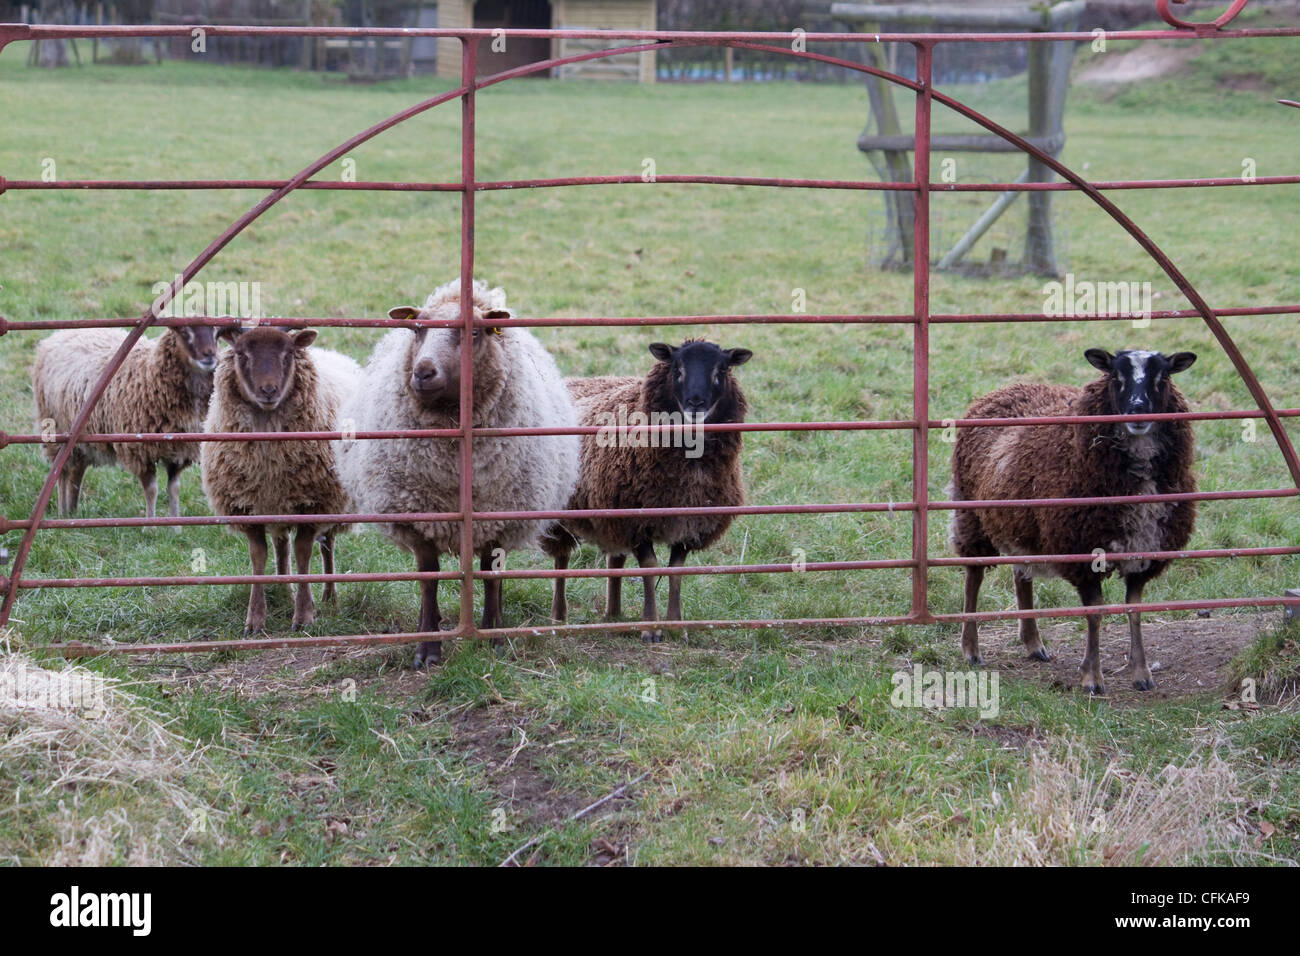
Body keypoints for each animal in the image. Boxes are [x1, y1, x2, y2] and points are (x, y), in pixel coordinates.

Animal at [32, 325, 220, 518]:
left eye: (216, 332)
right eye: (183, 331)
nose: (210, 355)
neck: (148, 374)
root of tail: (58, 335)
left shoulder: (179, 451)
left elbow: (174, 489)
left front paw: (175, 523)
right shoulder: (140, 451)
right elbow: (152, 490)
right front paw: (150, 523)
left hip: (81, 437)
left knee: (77, 470)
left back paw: (72, 511)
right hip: (56, 429)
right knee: (62, 471)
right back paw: (62, 511)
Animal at [201, 326, 361, 634]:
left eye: (288, 354)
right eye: (241, 354)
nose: (268, 390)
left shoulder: (312, 504)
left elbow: (303, 553)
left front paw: (304, 614)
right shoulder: (248, 507)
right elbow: (259, 555)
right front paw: (255, 619)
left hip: (332, 502)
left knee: (327, 545)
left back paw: (329, 595)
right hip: (277, 505)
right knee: (281, 545)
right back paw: (285, 590)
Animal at [335, 278, 579, 668]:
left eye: (474, 332)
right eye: (417, 328)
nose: (423, 371)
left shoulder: (497, 516)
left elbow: (491, 578)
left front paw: (493, 637)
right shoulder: (419, 518)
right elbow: (429, 579)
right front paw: (428, 646)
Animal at [540, 339, 753, 642]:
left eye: (721, 370)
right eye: (676, 369)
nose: (696, 403)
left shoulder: (688, 521)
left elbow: (676, 571)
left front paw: (676, 625)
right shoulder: (636, 520)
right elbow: (651, 565)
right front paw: (651, 628)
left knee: (614, 559)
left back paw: (613, 613)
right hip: (563, 514)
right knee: (562, 558)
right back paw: (558, 617)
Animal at [949, 348, 1198, 695]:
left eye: (1162, 377)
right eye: (1116, 376)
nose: (1137, 411)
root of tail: (1006, 389)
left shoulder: (1144, 551)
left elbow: (1134, 609)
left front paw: (1141, 673)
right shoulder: (1083, 553)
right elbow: (1094, 613)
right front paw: (1092, 678)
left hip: (1023, 524)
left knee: (1021, 575)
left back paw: (1033, 644)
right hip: (971, 517)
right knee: (973, 578)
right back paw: (971, 649)